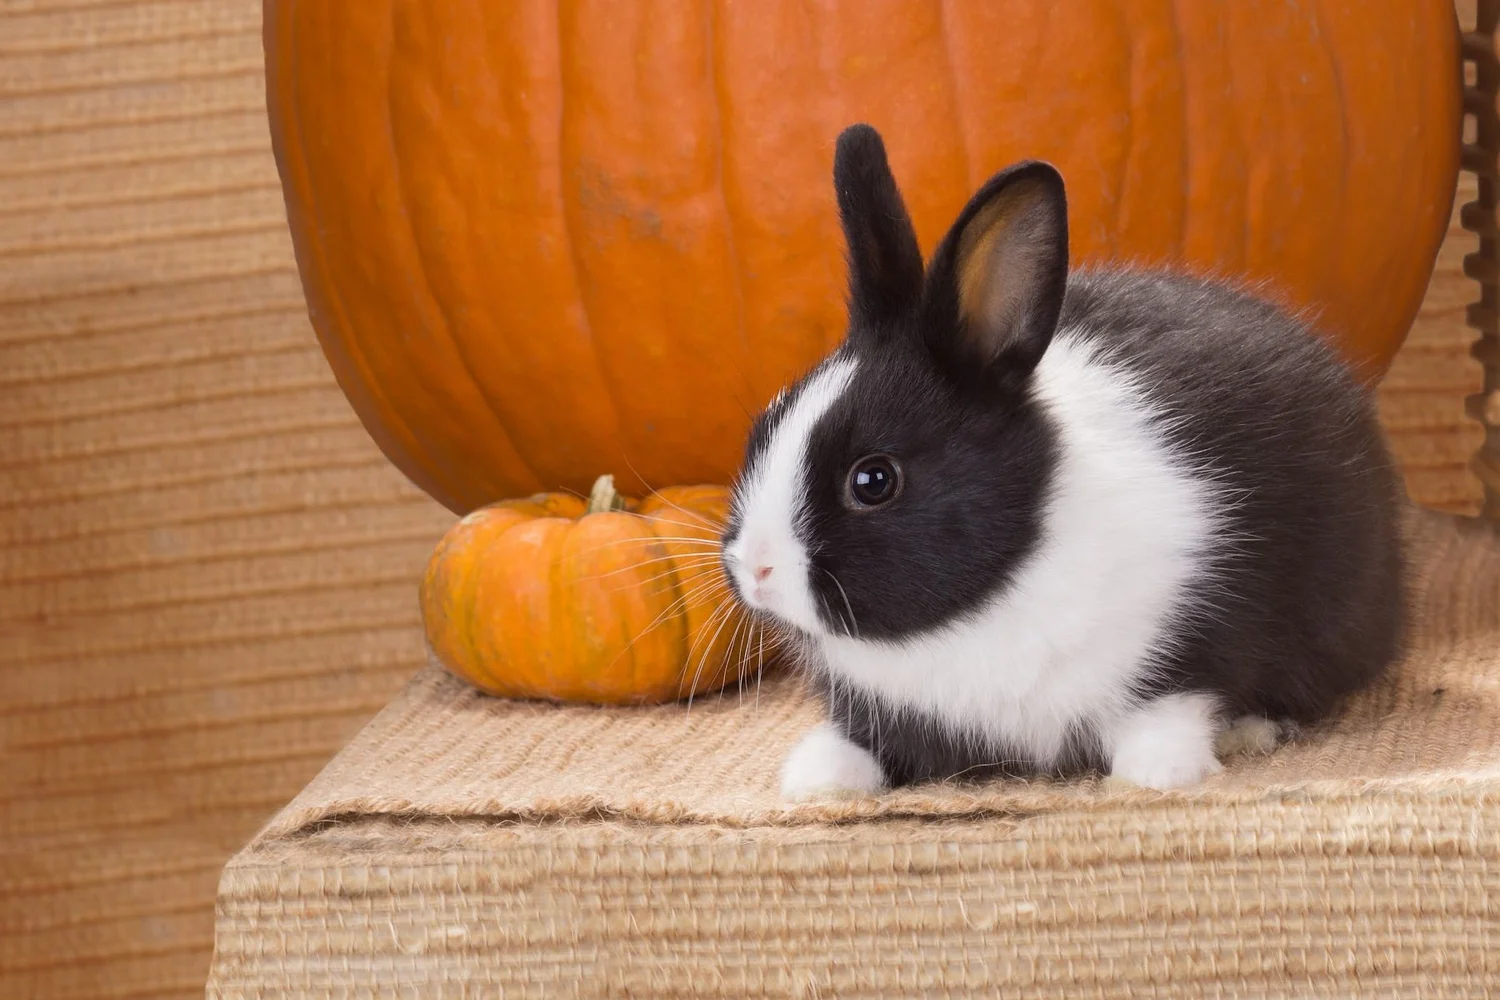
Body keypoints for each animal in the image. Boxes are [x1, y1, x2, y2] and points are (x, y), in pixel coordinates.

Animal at [719, 123, 1406, 799]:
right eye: (764, 428)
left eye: (873, 480)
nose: (754, 568)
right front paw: (817, 778)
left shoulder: (1190, 640)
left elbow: (1171, 705)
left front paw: (1156, 773)